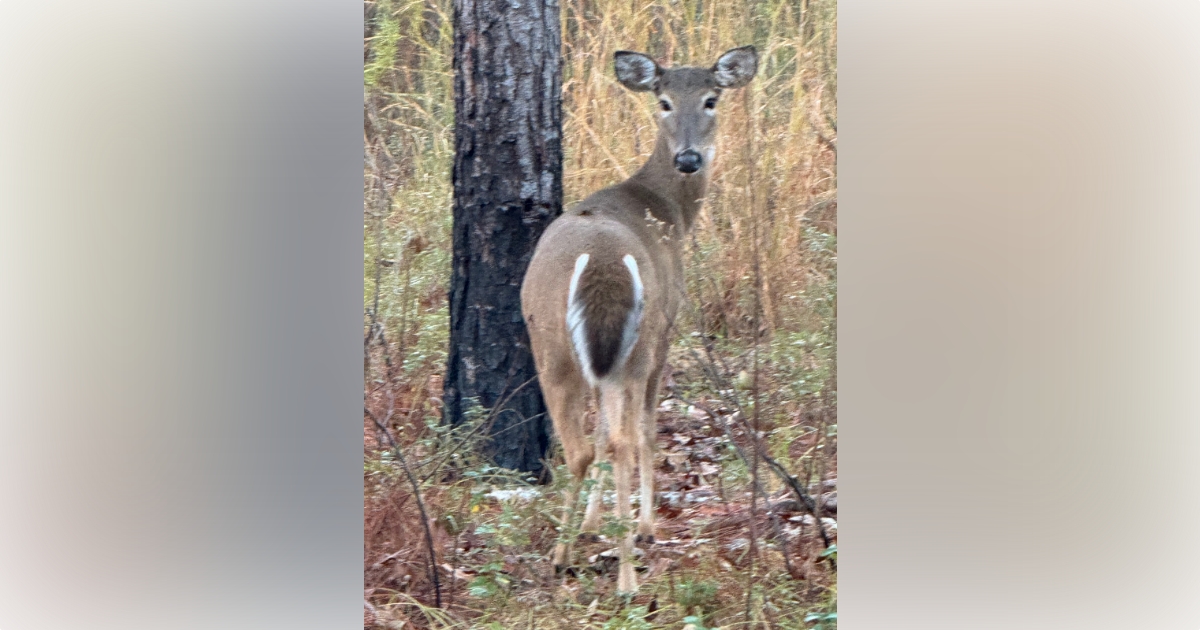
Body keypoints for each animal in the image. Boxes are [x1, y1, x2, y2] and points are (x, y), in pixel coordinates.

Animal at [520, 45, 758, 595]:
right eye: (665, 101)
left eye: (711, 99)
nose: (688, 159)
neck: (668, 208)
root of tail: (601, 267)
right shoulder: (667, 328)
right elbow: (647, 431)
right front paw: (645, 526)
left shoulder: (598, 360)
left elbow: (602, 438)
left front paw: (592, 524)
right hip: (639, 344)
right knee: (626, 439)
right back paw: (628, 572)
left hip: (551, 344)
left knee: (584, 446)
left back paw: (563, 554)